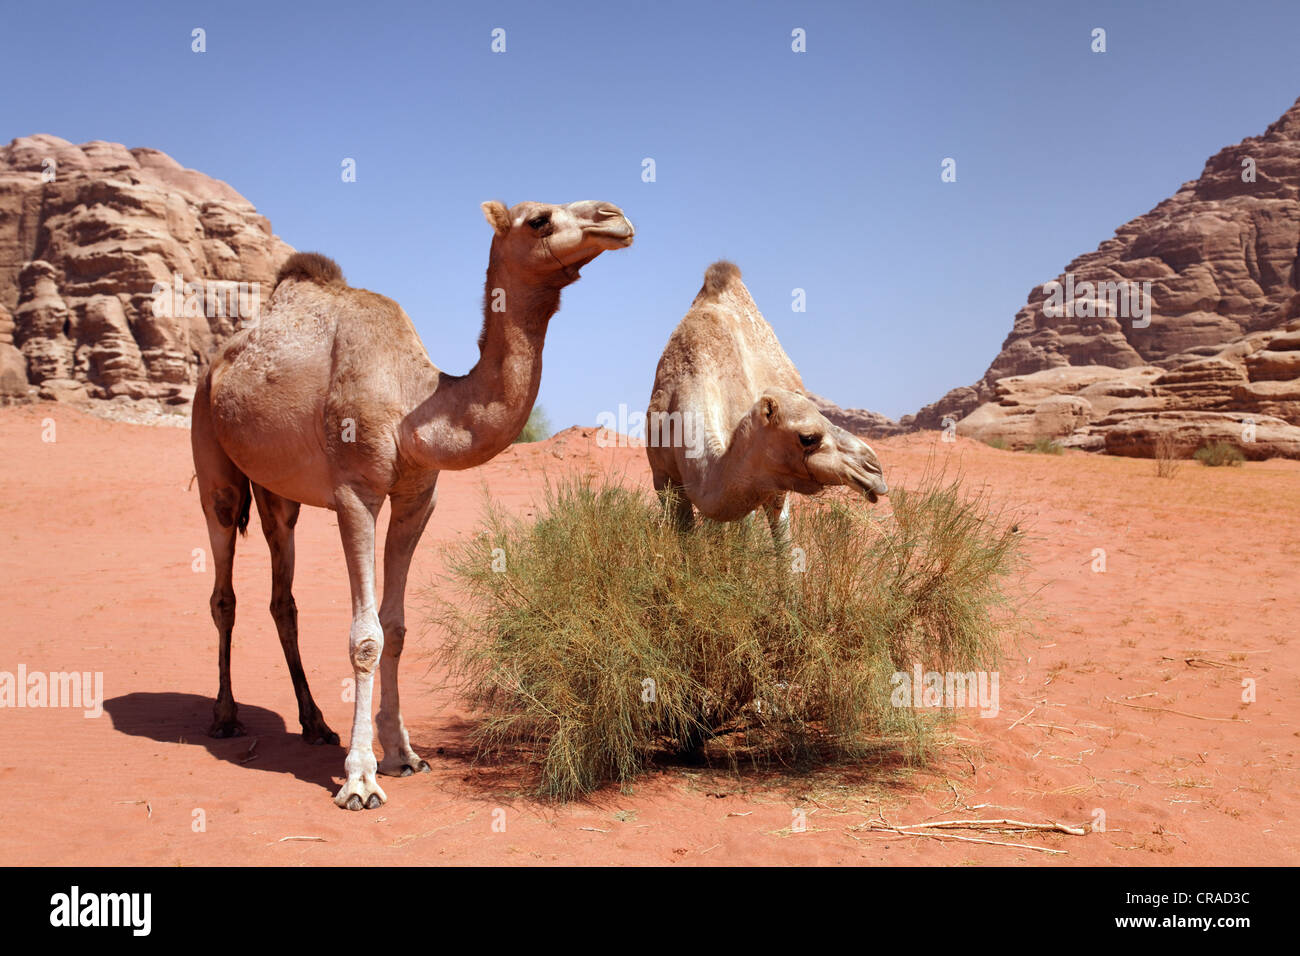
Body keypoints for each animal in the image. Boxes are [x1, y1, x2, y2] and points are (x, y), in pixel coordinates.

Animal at [191, 199, 633, 810]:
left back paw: (313, 723)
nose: (615, 218)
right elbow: (366, 637)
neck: (413, 404)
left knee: (283, 597)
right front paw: (359, 780)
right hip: (211, 451)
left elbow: (396, 628)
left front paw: (402, 755)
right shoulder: (356, 492)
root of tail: (218, 363)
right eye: (539, 219)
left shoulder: (417, 498)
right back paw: (225, 716)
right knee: (222, 589)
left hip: (277, 492)